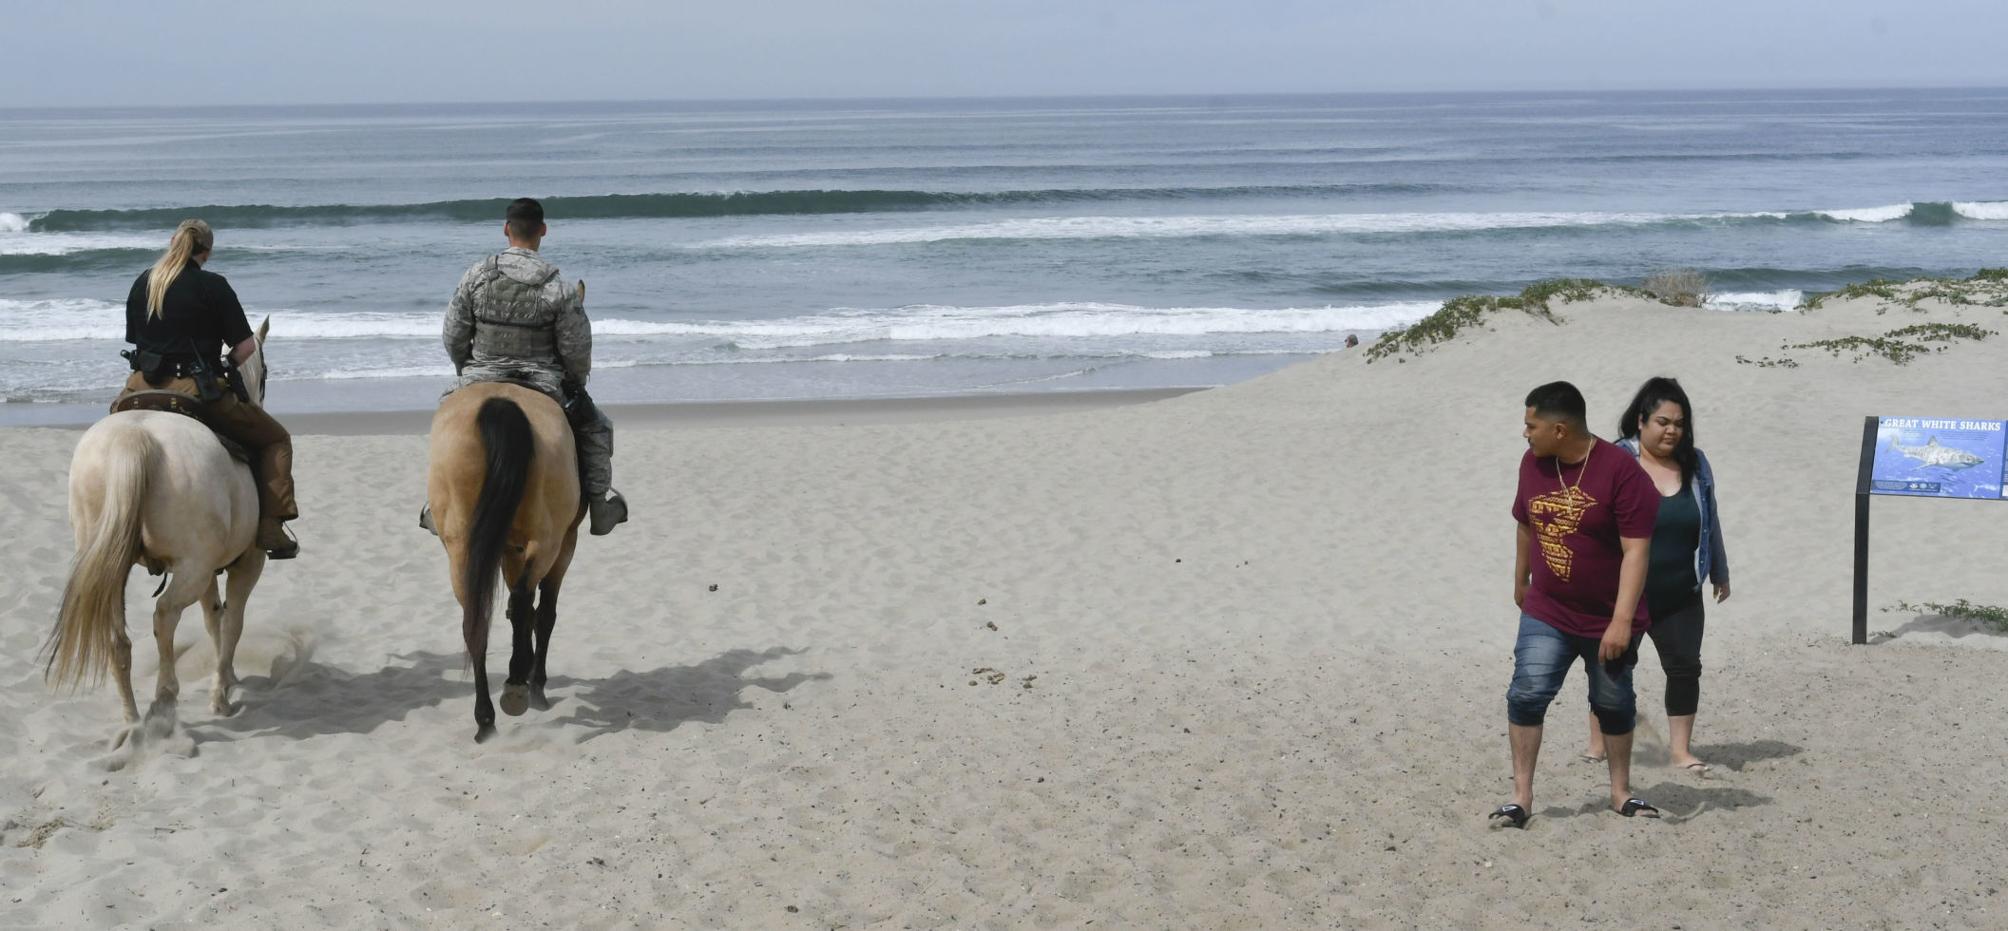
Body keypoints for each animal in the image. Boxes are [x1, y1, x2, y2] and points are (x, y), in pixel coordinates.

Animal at [44, 319, 272, 752]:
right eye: (265, 373)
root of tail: (135, 438)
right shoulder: (246, 563)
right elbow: (231, 621)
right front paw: (221, 694)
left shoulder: (209, 571)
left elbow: (214, 619)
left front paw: (226, 678)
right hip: (192, 568)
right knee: (165, 615)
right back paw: (164, 702)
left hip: (115, 565)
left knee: (119, 637)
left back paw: (133, 721)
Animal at [425, 382, 583, 742]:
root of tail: (500, 403)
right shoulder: (564, 545)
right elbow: (543, 614)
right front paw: (535, 681)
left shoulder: (510, 550)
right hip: (549, 541)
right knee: (527, 604)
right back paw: (518, 687)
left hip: (462, 548)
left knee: (476, 620)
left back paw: (485, 717)